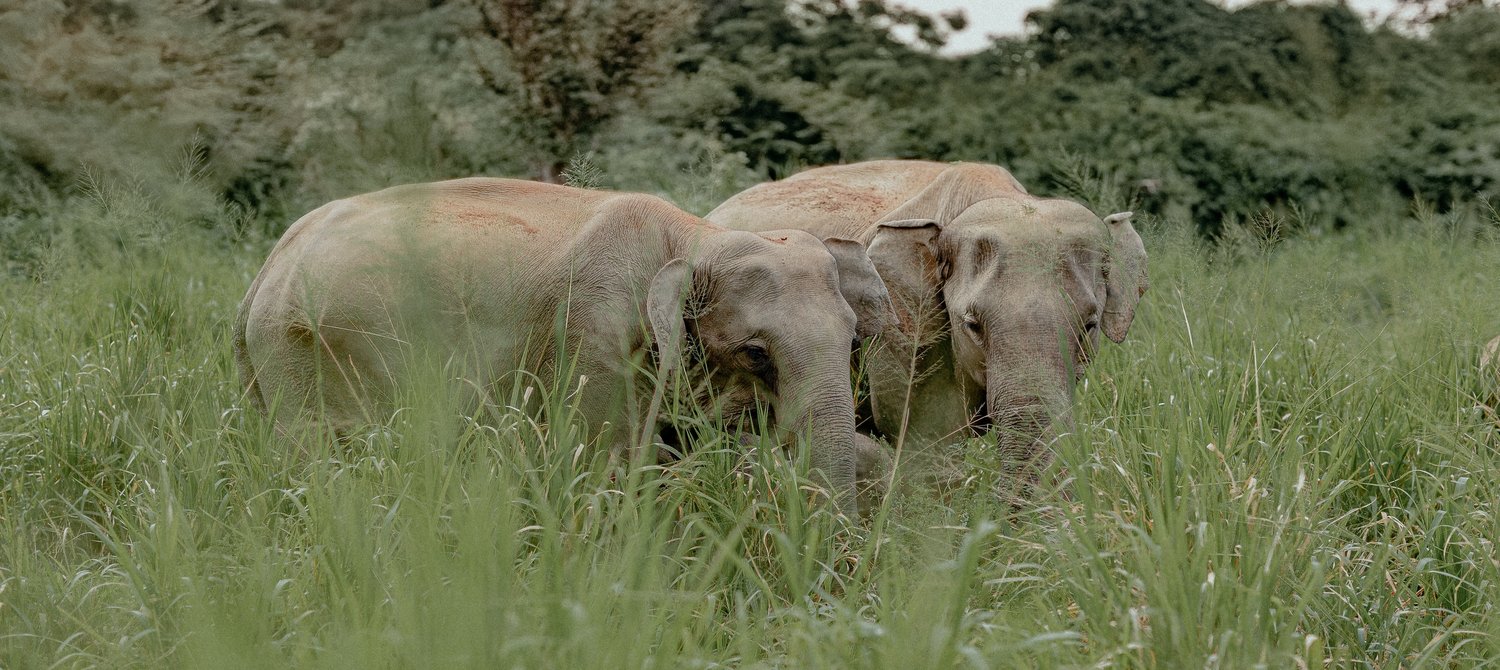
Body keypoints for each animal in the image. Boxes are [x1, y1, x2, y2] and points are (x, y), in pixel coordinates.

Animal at [233, 177, 895, 514]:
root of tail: (265, 269)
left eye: (853, 338)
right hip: (298, 354)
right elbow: (607, 463)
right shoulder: (593, 331)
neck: (695, 236)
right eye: (756, 352)